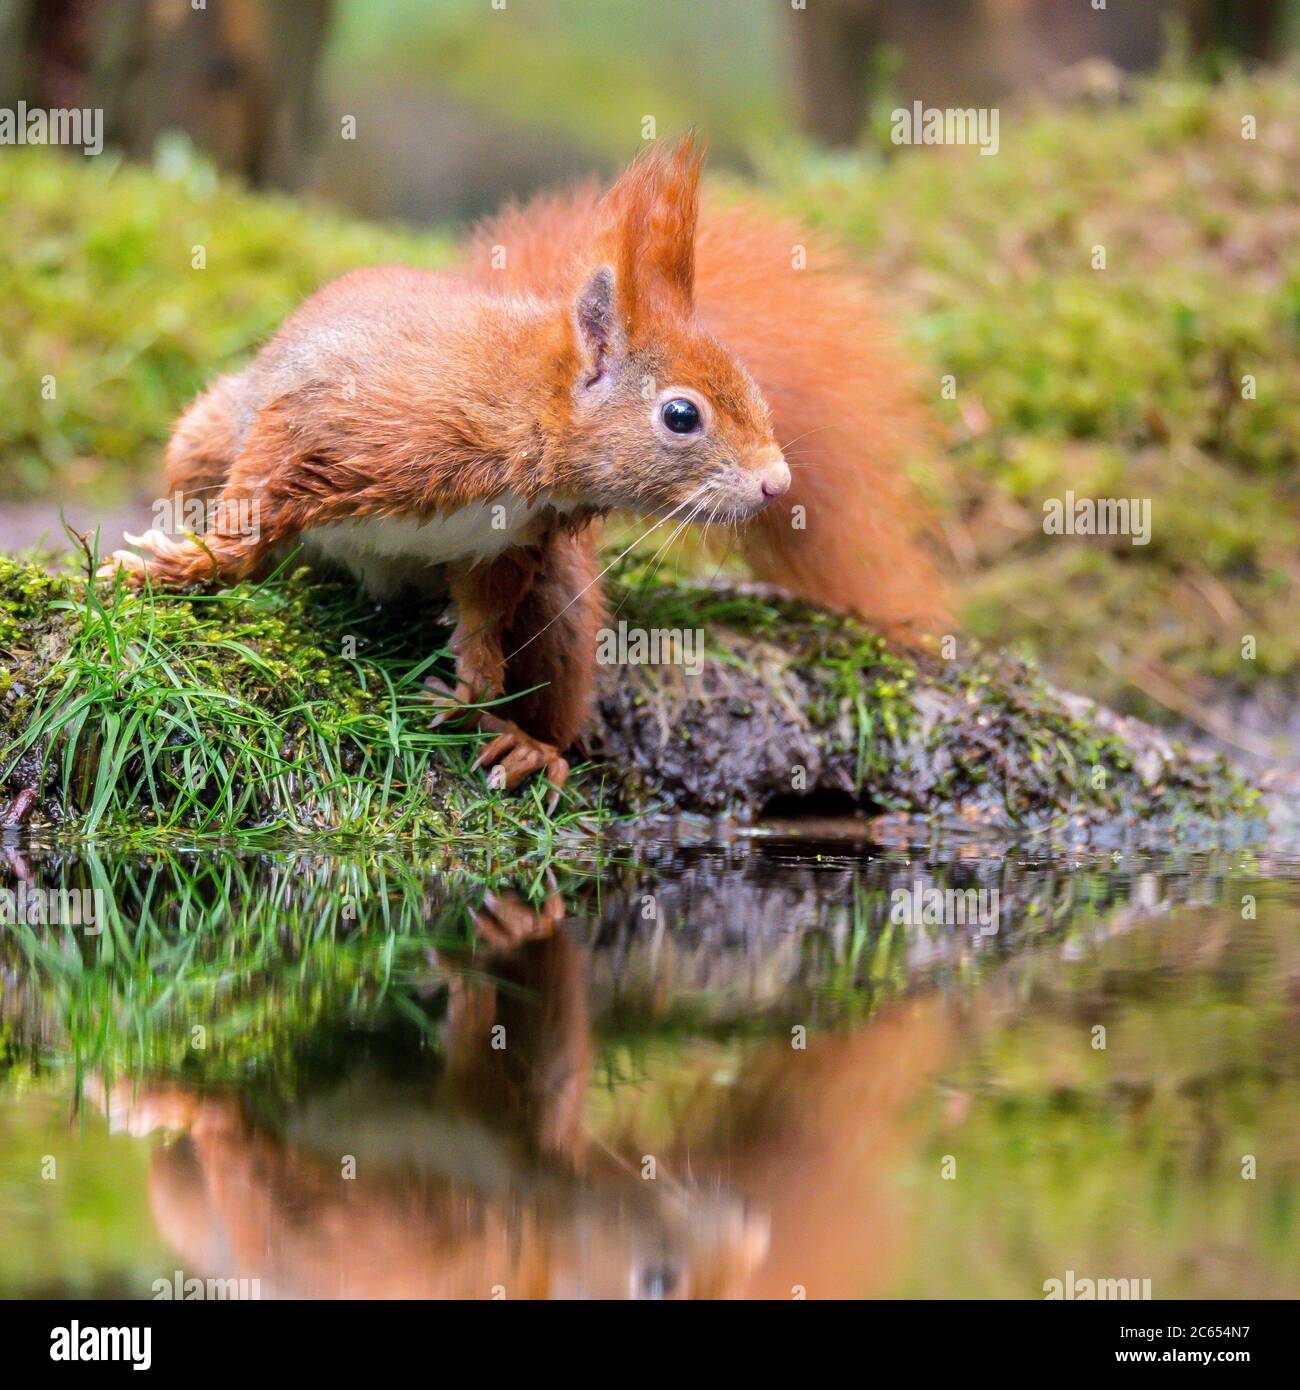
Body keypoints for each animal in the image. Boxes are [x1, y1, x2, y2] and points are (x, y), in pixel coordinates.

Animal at [102, 135, 947, 808]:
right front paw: (184, 567)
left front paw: (474, 689)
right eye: (682, 415)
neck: (529, 415)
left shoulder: (508, 545)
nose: (777, 485)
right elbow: (255, 509)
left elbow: (484, 618)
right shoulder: (340, 423)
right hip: (205, 440)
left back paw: (531, 746)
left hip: (561, 596)